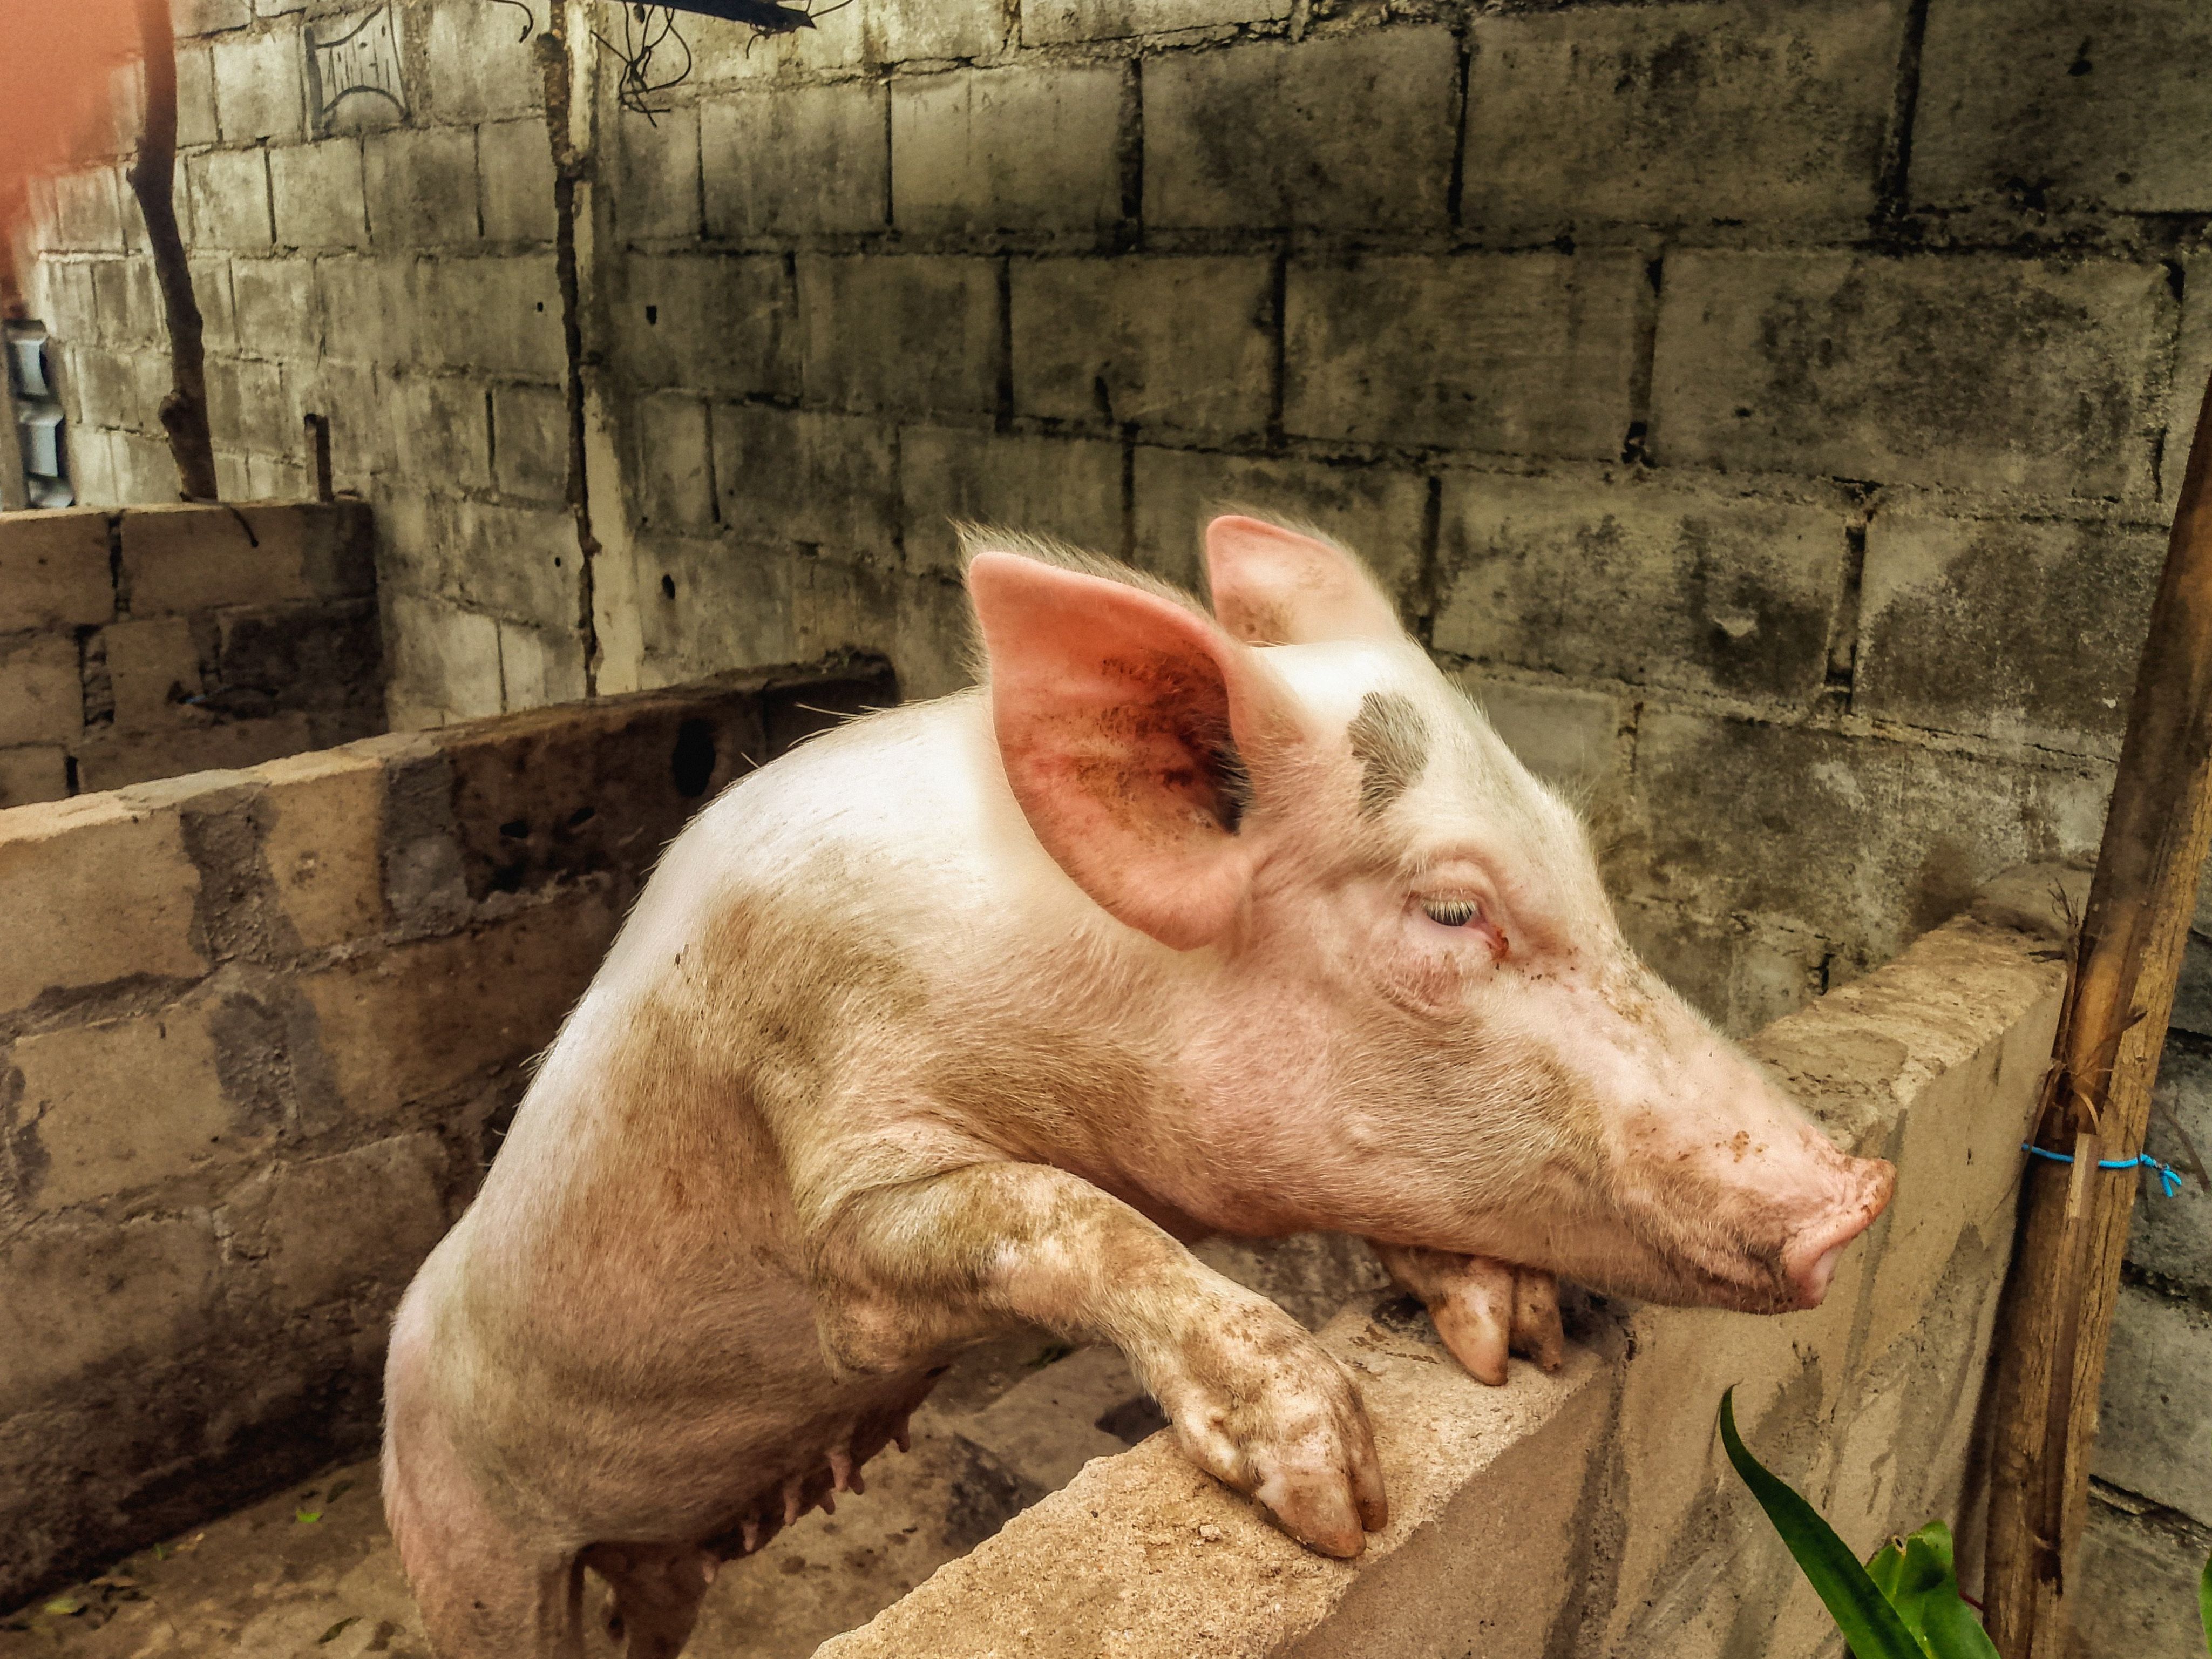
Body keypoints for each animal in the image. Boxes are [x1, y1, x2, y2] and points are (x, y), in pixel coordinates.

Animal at [382, 516, 1894, 1658]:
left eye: (1581, 854)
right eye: (1455, 913)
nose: (1860, 1194)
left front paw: (1505, 1334)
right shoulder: (839, 1195)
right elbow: (1049, 1216)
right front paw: (1339, 1493)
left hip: (648, 1563)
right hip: (464, 1551)